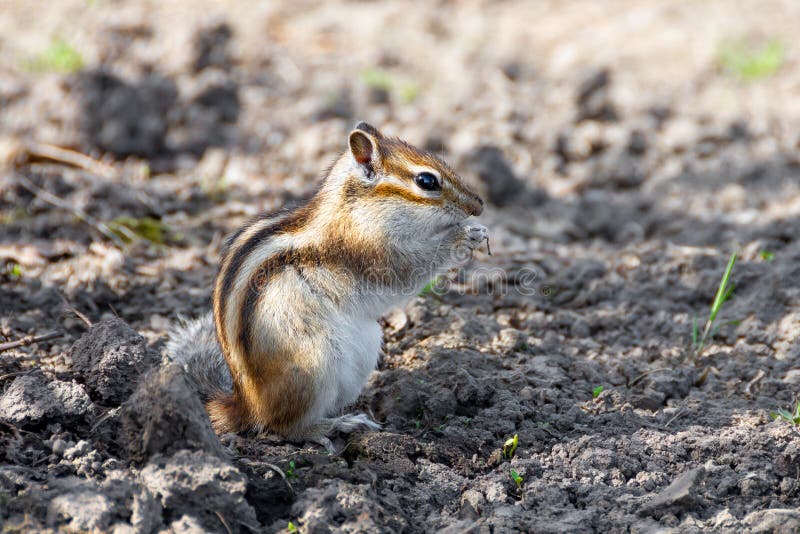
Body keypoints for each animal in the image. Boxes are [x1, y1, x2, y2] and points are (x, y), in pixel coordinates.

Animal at [167, 122, 487, 451]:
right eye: (427, 181)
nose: (478, 205)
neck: (356, 211)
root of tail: (246, 404)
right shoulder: (374, 254)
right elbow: (410, 270)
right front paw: (462, 237)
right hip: (314, 365)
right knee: (280, 426)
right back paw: (333, 426)